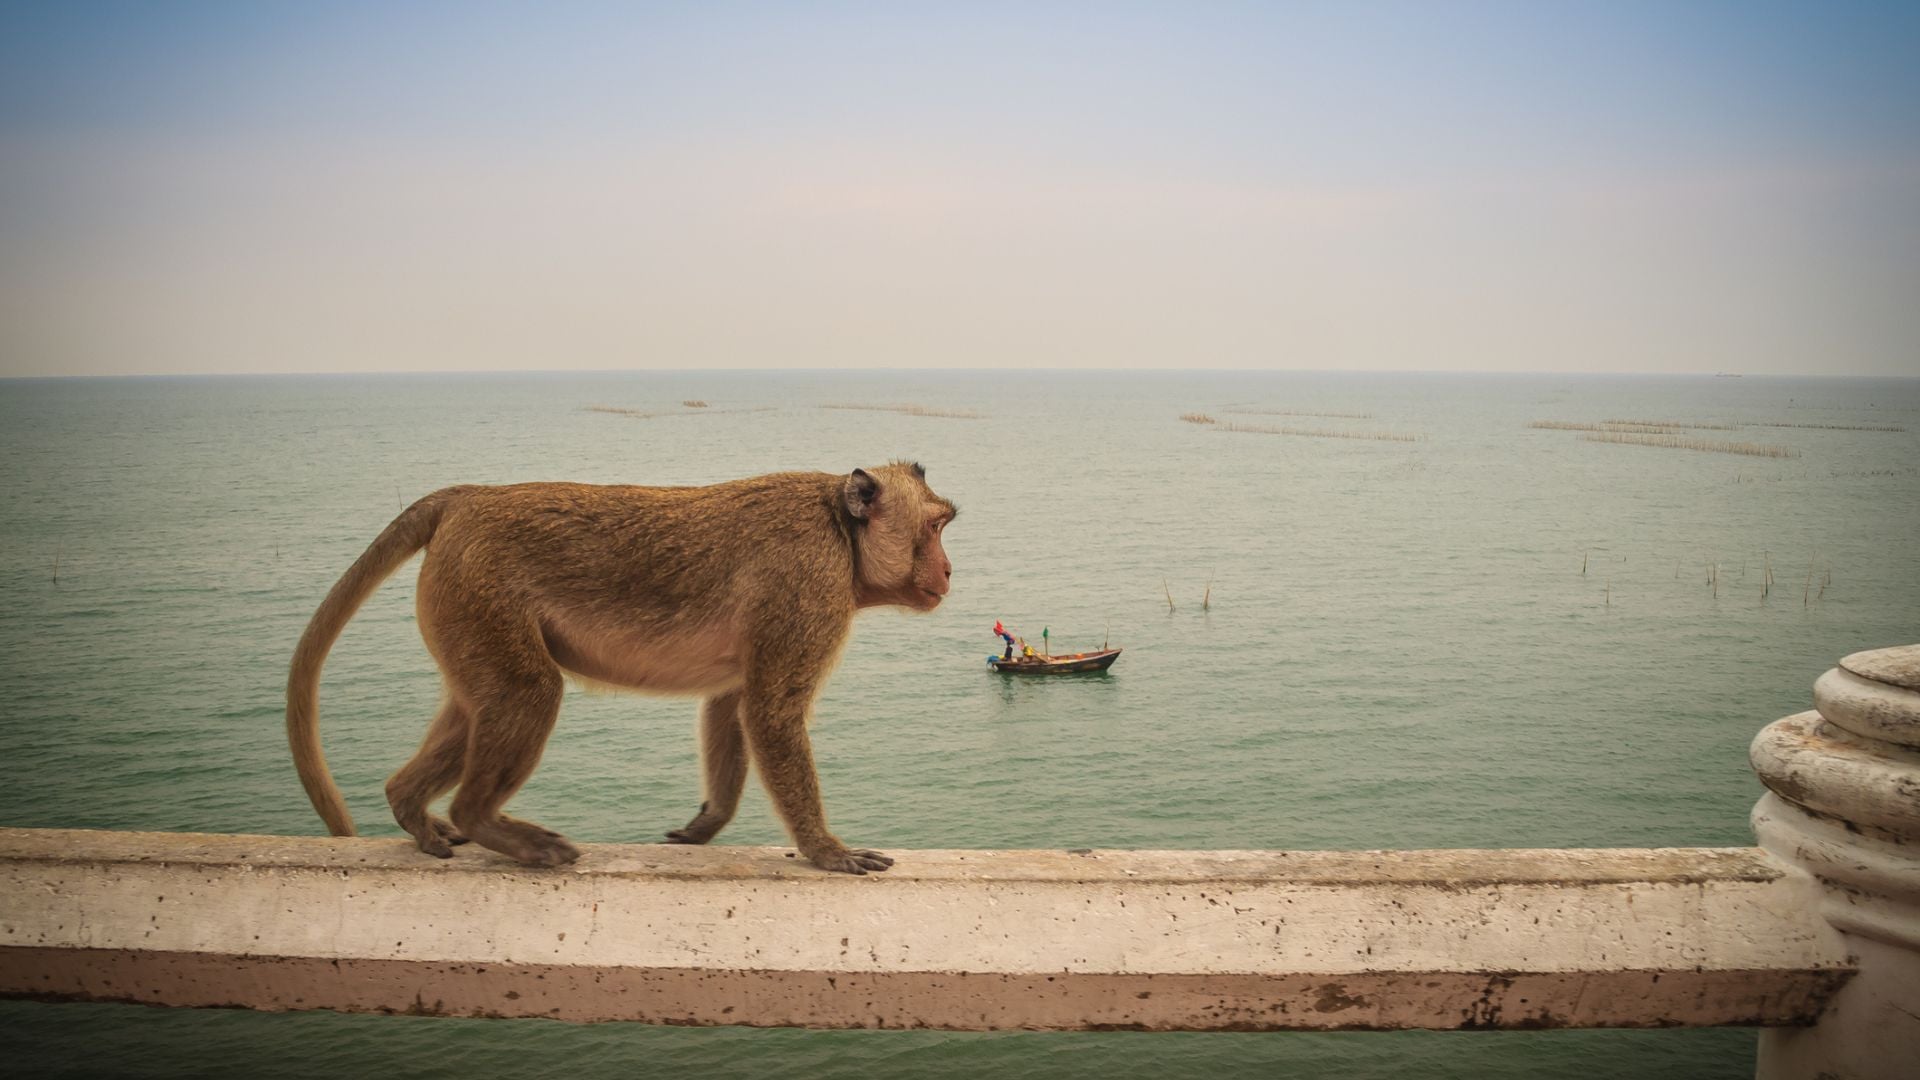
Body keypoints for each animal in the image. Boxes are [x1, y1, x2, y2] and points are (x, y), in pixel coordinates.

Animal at [285, 461, 955, 874]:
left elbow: (733, 703)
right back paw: (485, 822)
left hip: (463, 611)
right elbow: (771, 710)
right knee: (528, 693)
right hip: (478, 592)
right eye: (934, 527)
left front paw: (707, 824)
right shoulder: (808, 586)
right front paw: (825, 850)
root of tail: (469, 497)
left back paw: (411, 808)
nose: (949, 569)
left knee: (480, 705)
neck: (839, 531)